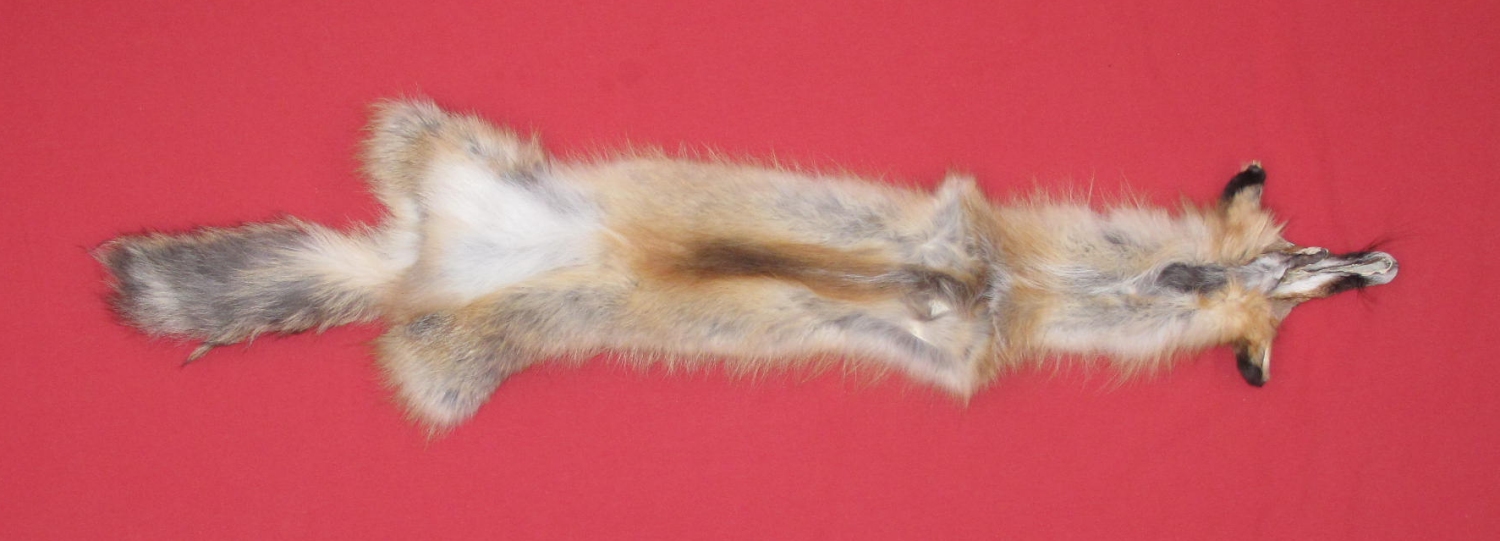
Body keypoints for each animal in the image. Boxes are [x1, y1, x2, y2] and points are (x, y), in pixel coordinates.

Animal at [96, 98, 1398, 431]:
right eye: (1301, 260)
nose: (1380, 257)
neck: (1024, 286)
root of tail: (423, 264)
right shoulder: (968, 263)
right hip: (448, 211)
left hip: (448, 273)